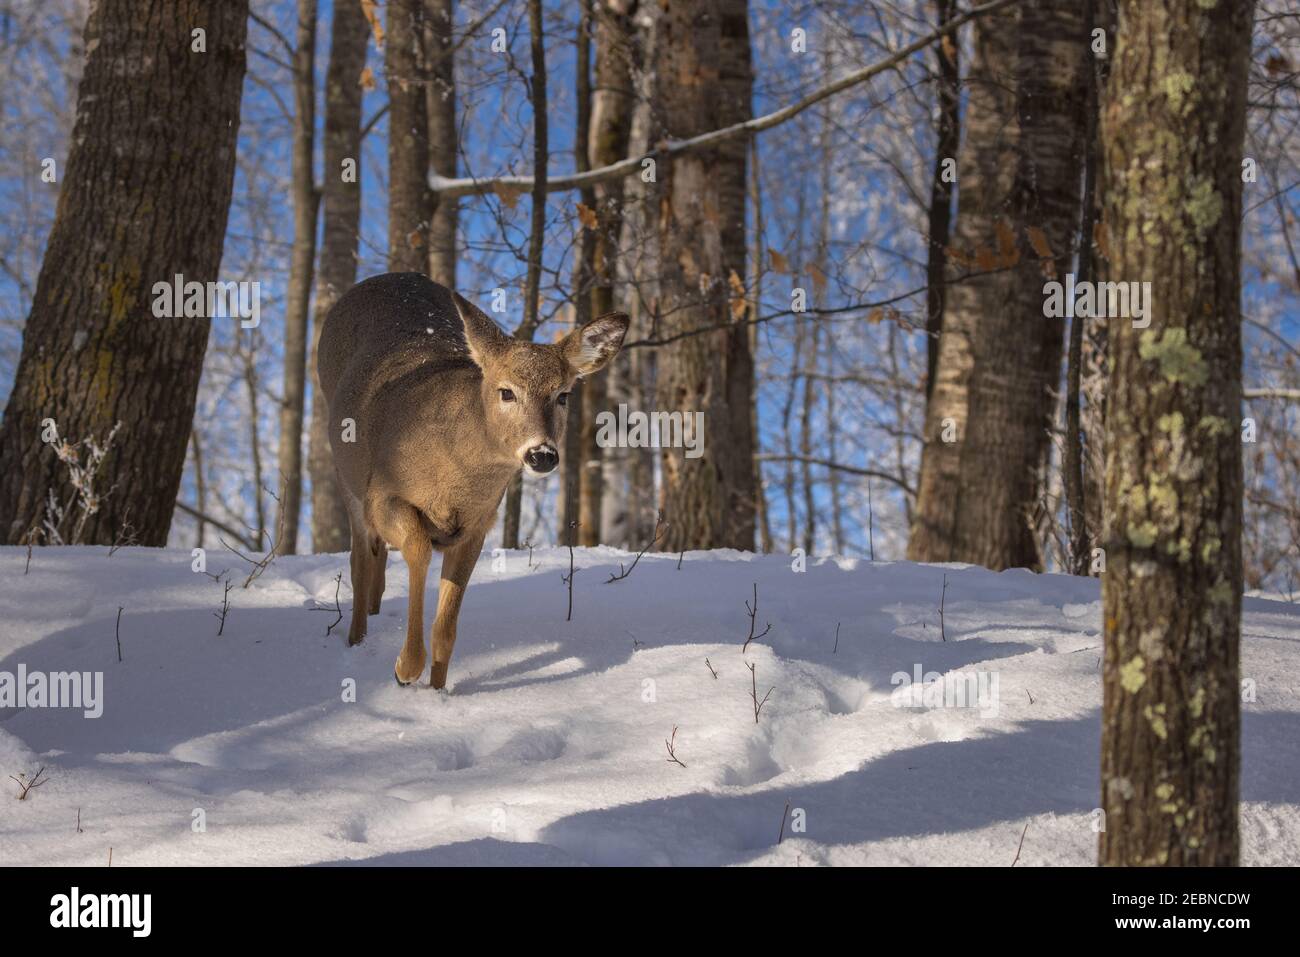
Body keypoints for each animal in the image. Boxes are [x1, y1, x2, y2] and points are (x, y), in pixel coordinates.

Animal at [317, 272, 628, 689]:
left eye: (563, 395)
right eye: (507, 391)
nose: (542, 454)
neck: (453, 482)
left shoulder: (478, 525)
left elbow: (447, 626)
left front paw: (436, 690)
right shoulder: (382, 494)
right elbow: (417, 547)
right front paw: (405, 669)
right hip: (345, 473)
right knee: (359, 558)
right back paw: (356, 639)